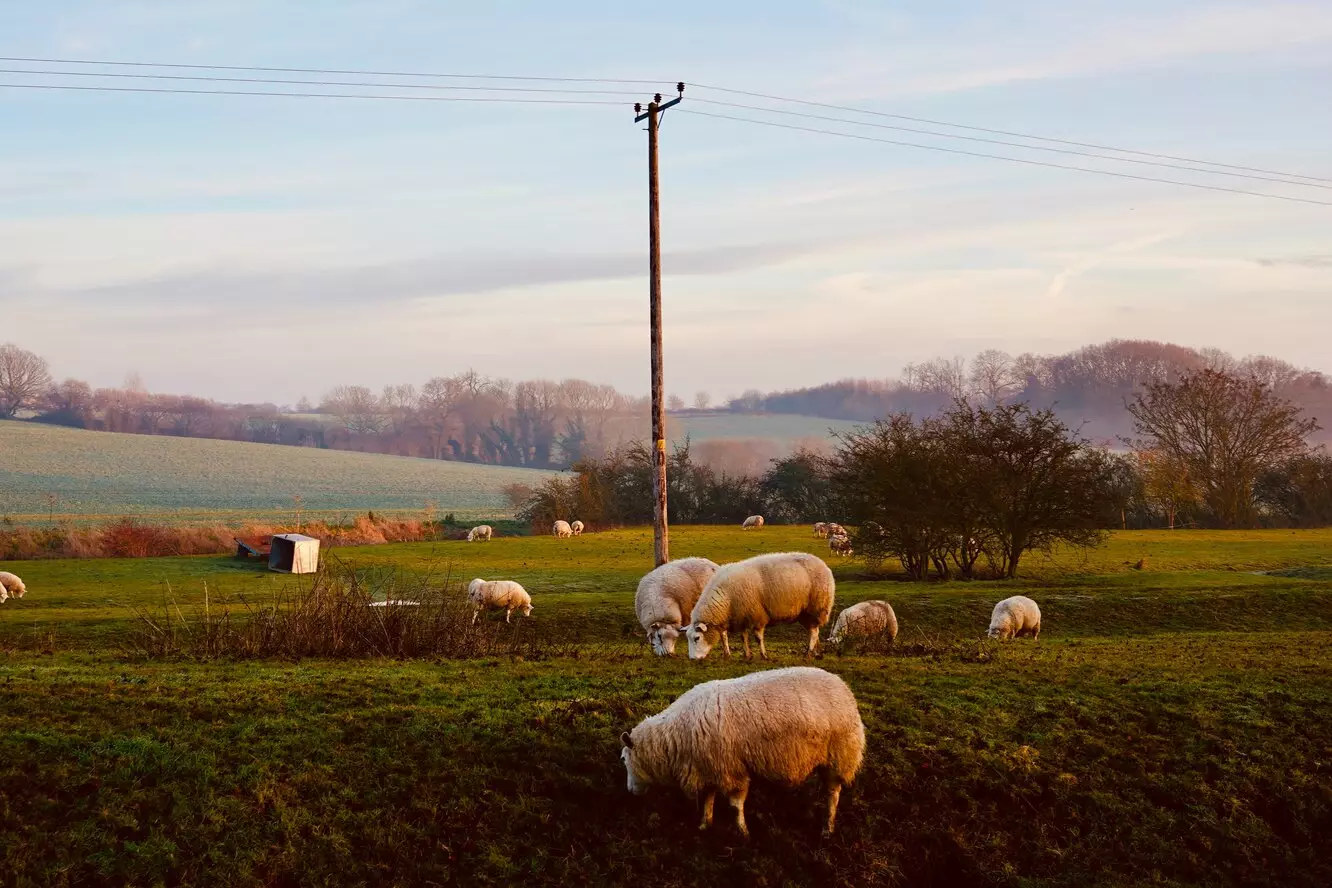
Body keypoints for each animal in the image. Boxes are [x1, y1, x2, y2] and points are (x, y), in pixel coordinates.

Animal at [620, 665, 868, 841]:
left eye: (624, 759)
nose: (629, 791)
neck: (677, 734)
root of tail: (842, 685)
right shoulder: (710, 767)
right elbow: (709, 798)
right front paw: (704, 824)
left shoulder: (732, 770)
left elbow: (735, 804)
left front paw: (742, 832)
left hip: (840, 757)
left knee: (833, 794)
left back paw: (827, 827)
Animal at [687, 551, 831, 663]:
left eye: (697, 638)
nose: (692, 659)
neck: (726, 598)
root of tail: (822, 563)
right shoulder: (742, 616)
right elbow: (743, 637)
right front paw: (747, 655)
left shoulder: (757, 616)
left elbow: (758, 638)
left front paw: (764, 656)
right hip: (805, 613)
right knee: (814, 631)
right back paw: (816, 653)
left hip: (815, 608)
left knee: (814, 633)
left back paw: (808, 653)